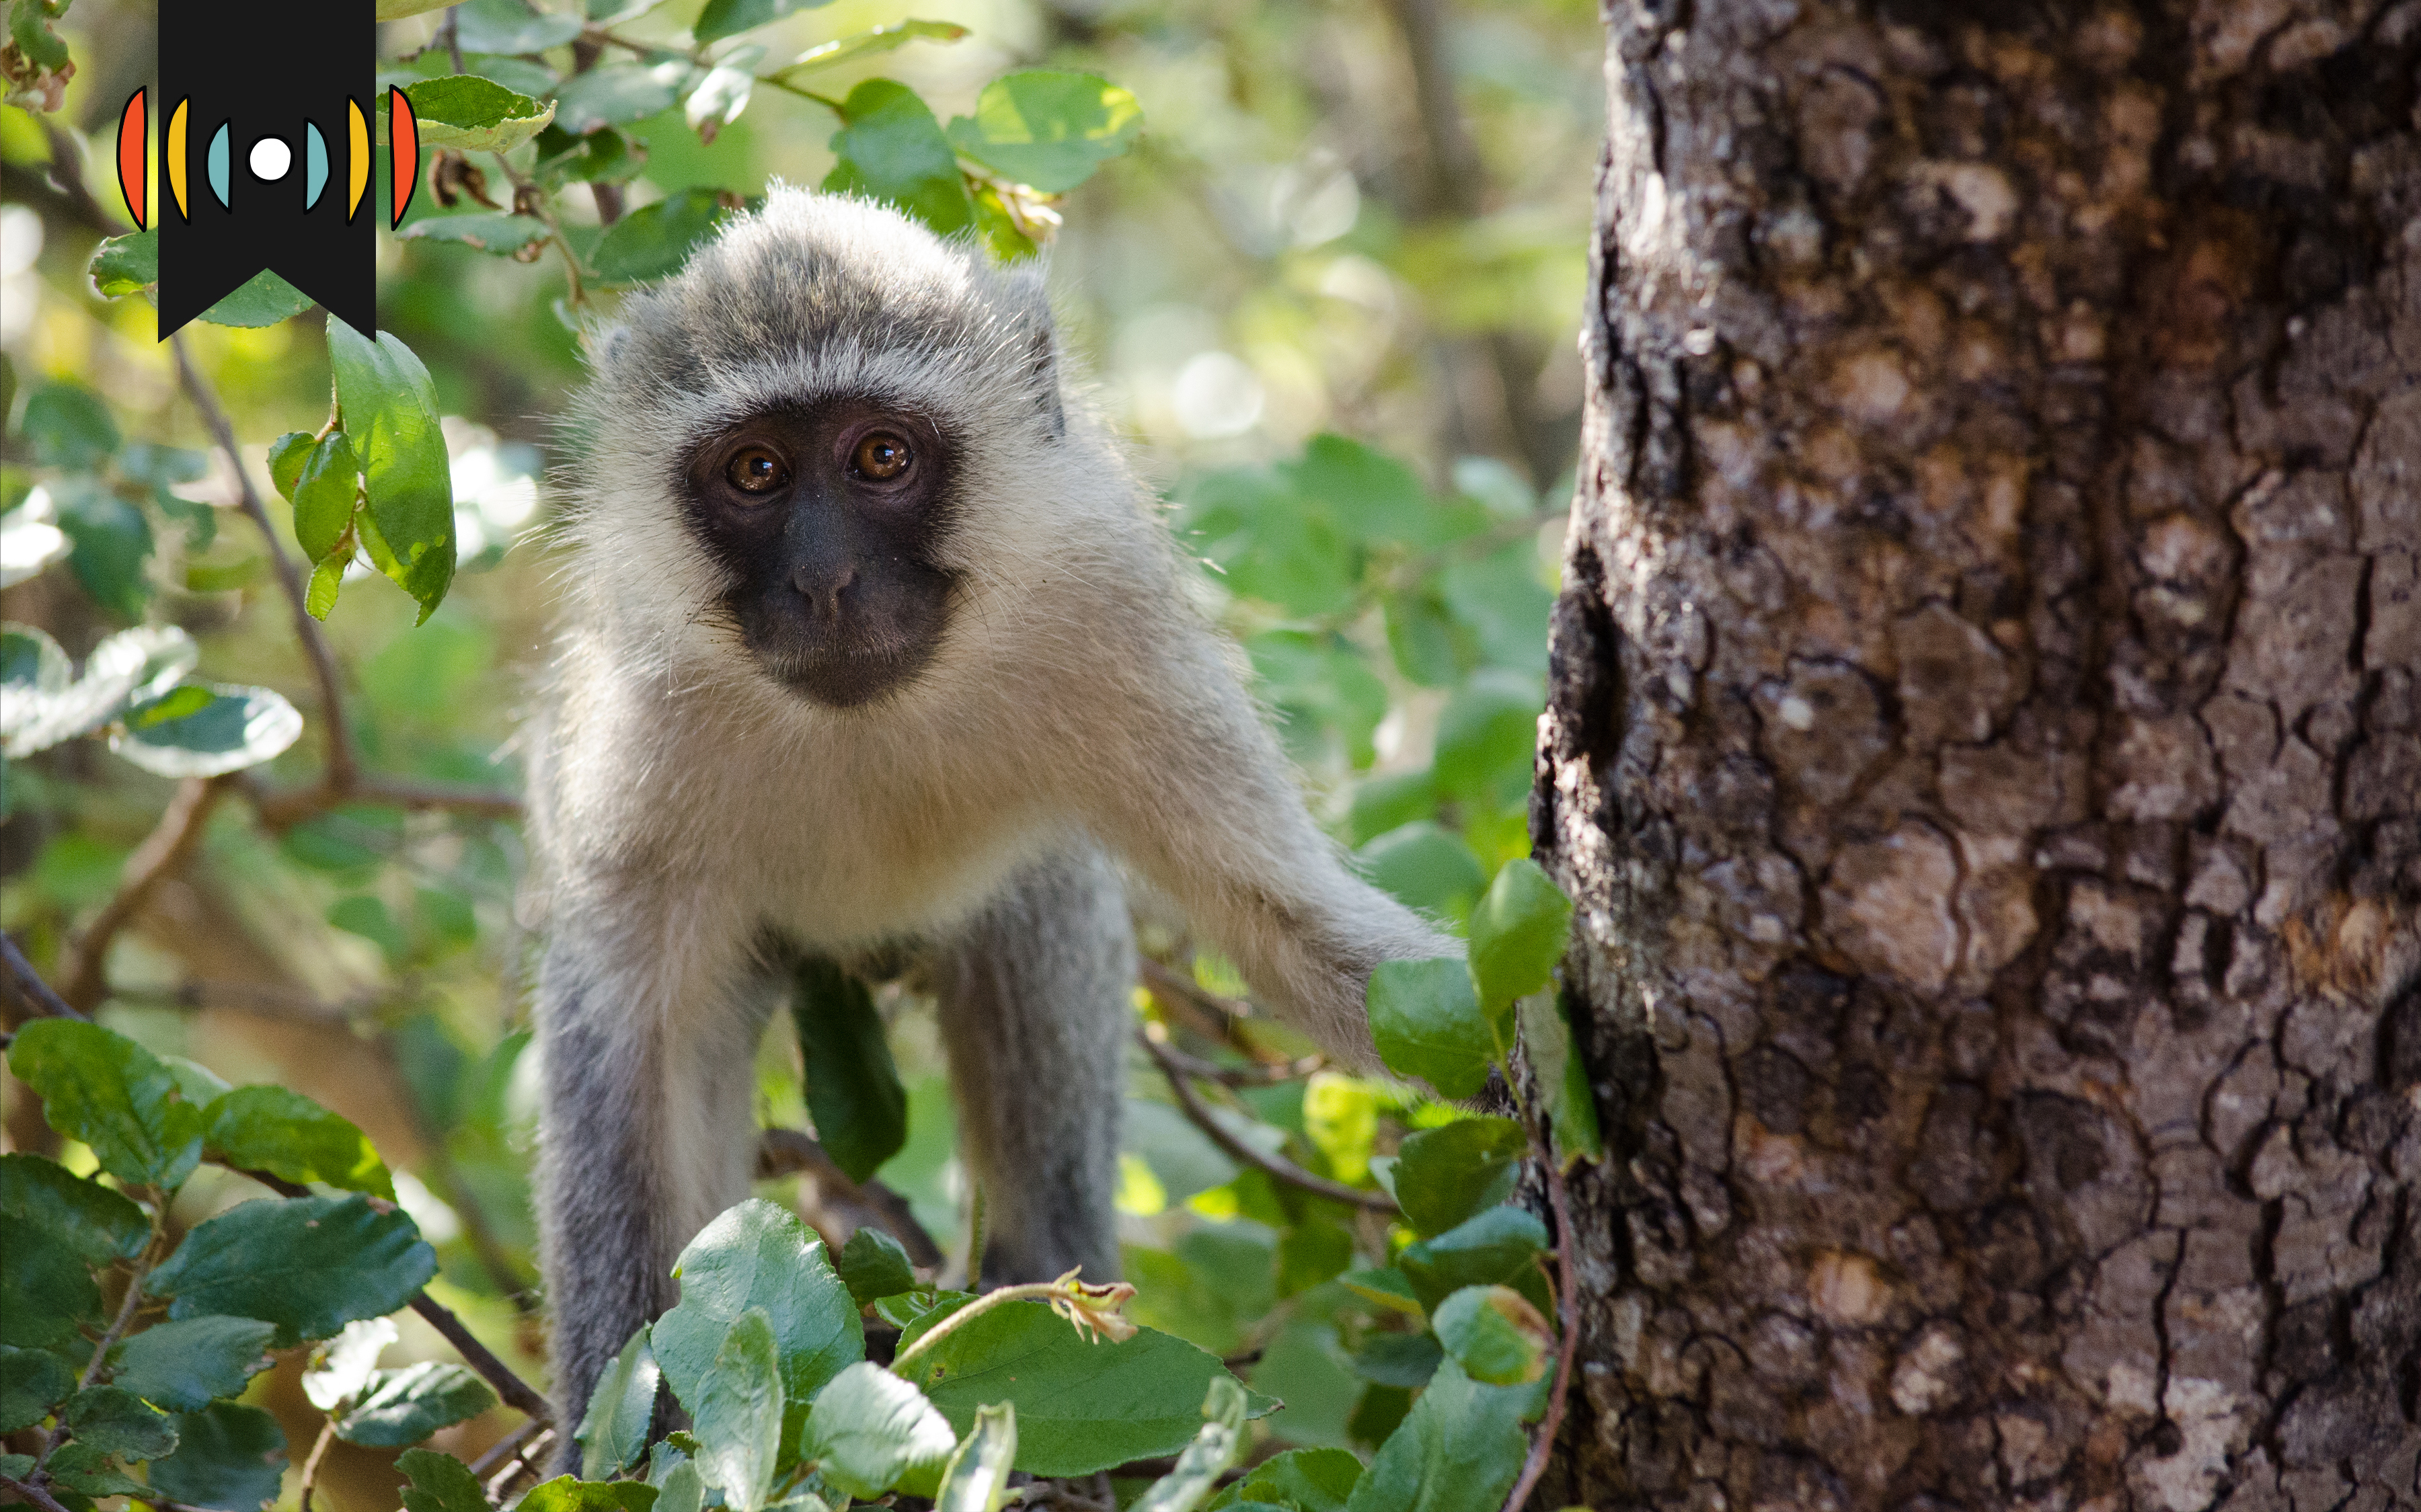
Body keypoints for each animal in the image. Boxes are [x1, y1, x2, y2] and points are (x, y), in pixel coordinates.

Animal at [524, 188, 1457, 1449]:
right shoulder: (639, 732)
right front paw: (613, 1432)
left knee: (1041, 922)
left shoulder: (1115, 622)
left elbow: (1284, 921)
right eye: (756, 471)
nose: (824, 581)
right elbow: (626, 1057)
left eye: (882, 456)